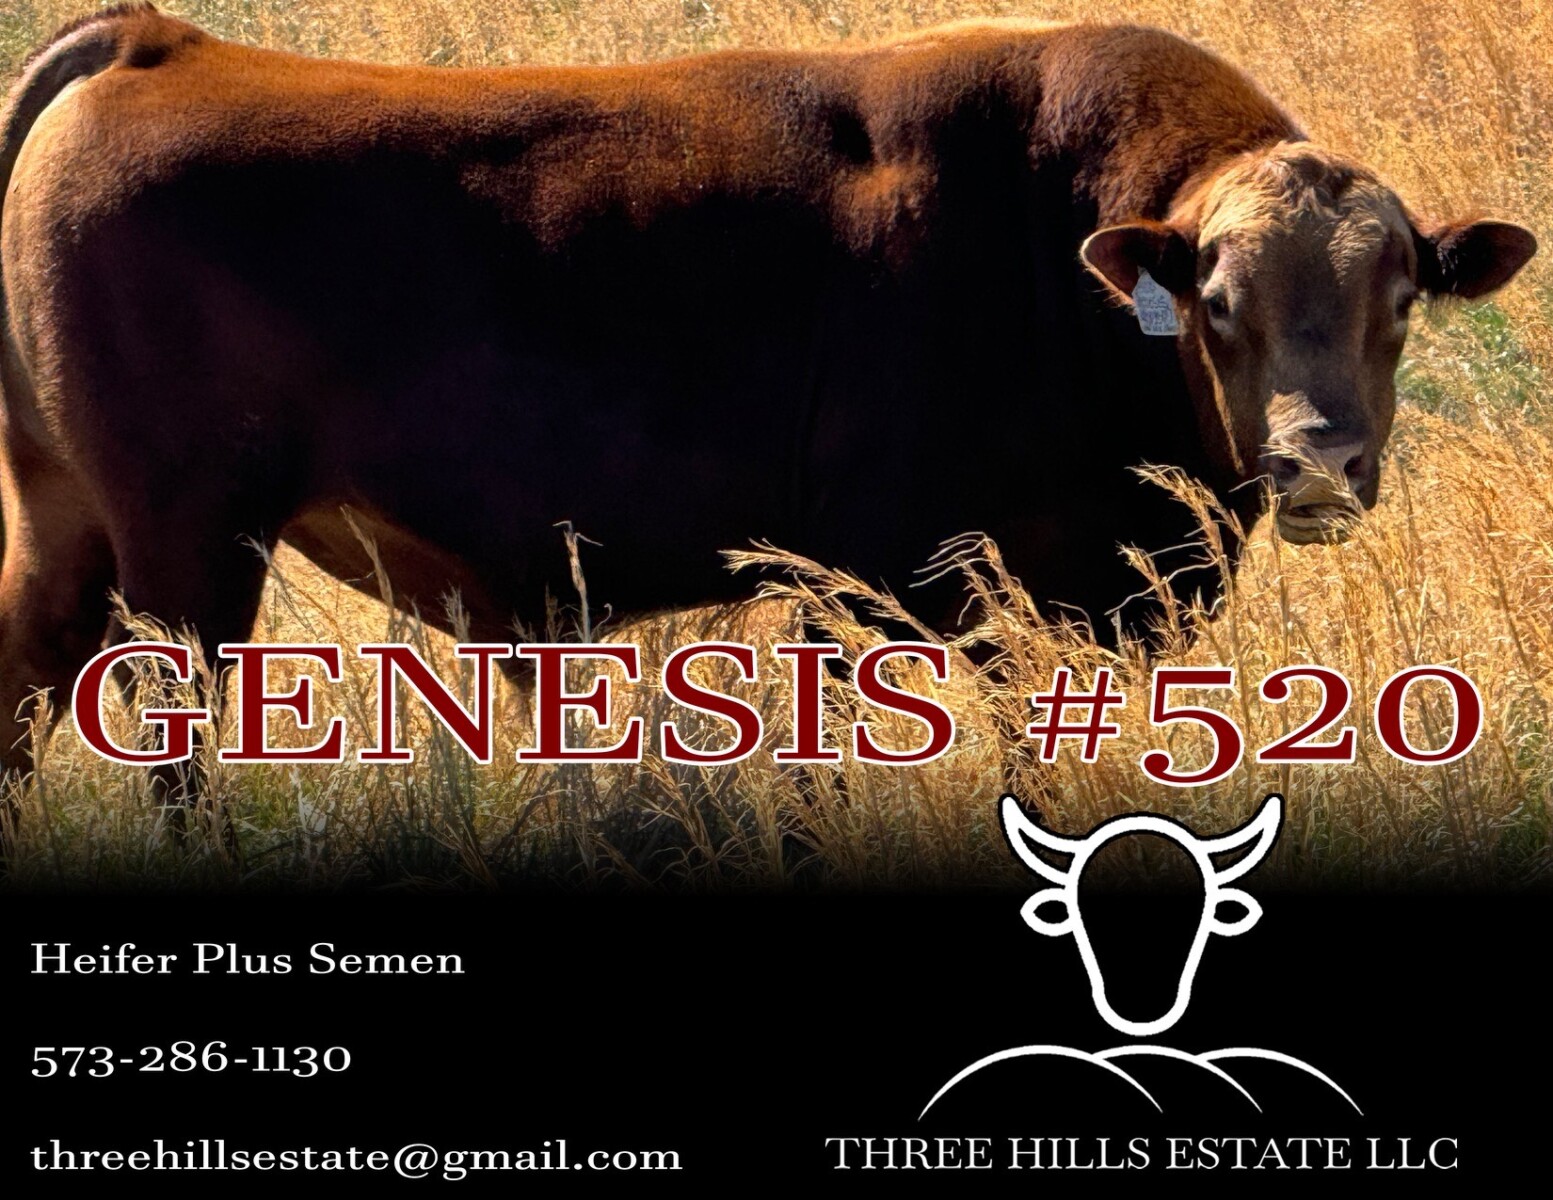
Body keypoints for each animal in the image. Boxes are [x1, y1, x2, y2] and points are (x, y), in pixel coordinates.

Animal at [0, 8, 1537, 821]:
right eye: (1214, 301)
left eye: (1400, 294)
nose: (1315, 460)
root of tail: (161, 43)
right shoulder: (859, 584)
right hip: (191, 554)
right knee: (174, 744)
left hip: (66, 529)